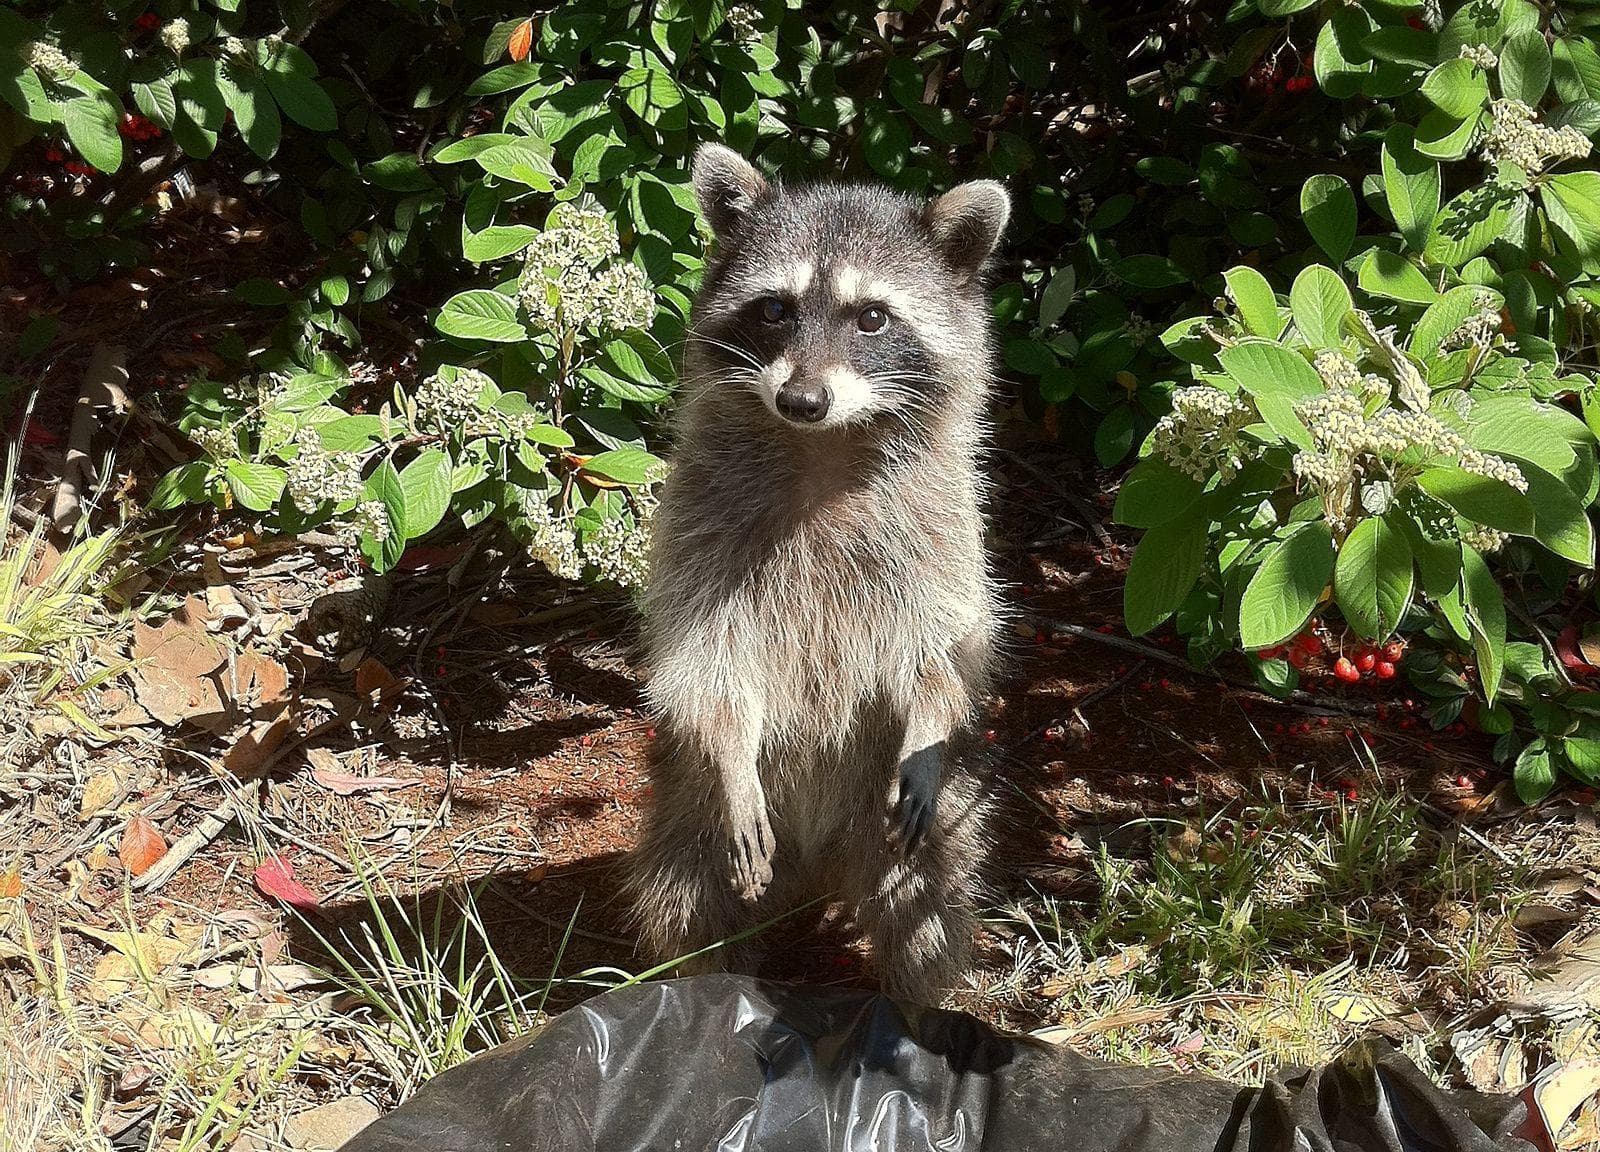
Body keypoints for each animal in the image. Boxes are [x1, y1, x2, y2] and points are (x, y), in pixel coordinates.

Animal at [628, 144, 1010, 1001]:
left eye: (872, 317)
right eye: (775, 308)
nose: (802, 397)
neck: (820, 447)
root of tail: (819, 875)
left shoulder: (943, 526)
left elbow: (949, 646)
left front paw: (933, 713)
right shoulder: (698, 524)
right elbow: (703, 664)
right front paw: (733, 753)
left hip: (909, 828)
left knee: (928, 909)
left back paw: (917, 1005)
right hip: (686, 815)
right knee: (683, 903)